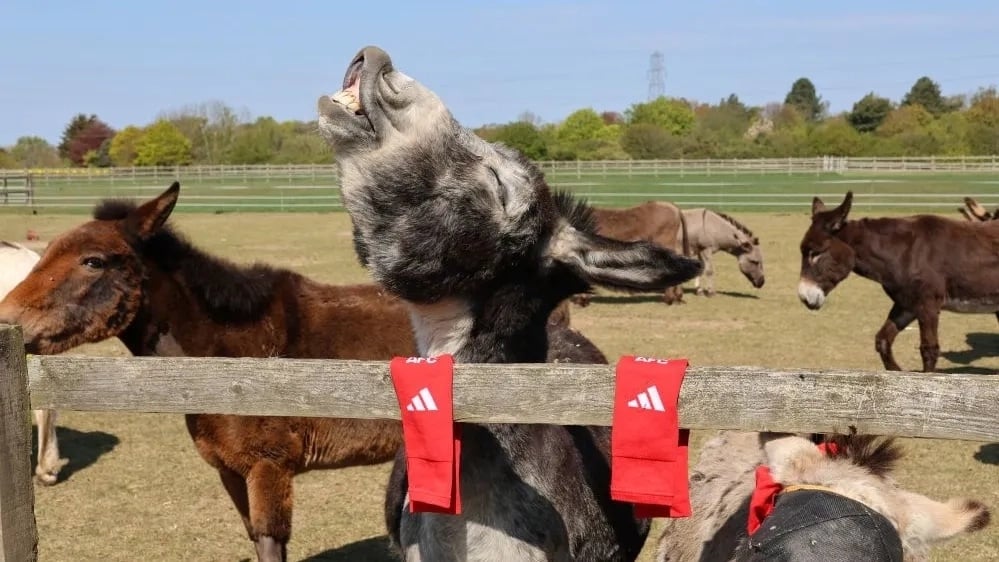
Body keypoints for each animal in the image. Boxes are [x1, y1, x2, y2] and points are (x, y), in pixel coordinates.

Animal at [797, 191, 999, 372]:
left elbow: (929, 350)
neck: (901, 252)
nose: (803, 297)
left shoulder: (928, 305)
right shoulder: (906, 304)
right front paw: (896, 372)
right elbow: (883, 341)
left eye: (815, 253)